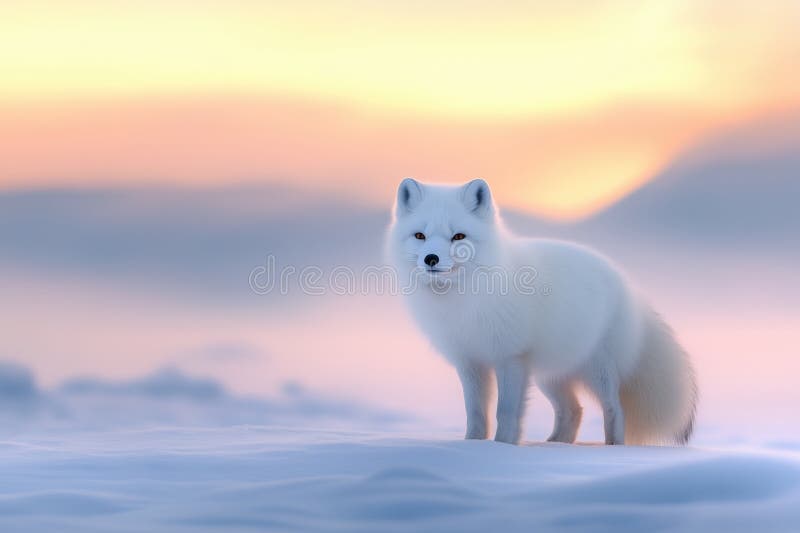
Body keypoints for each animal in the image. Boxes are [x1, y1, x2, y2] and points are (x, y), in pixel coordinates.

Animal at [387, 178, 697, 445]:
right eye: (420, 235)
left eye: (458, 236)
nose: (431, 259)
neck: (465, 299)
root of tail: (629, 287)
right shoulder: (470, 362)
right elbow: (475, 414)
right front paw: (472, 446)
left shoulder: (510, 358)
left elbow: (505, 412)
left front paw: (503, 446)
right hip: (550, 376)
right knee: (573, 410)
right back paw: (555, 445)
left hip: (596, 369)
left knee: (614, 409)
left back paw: (612, 448)